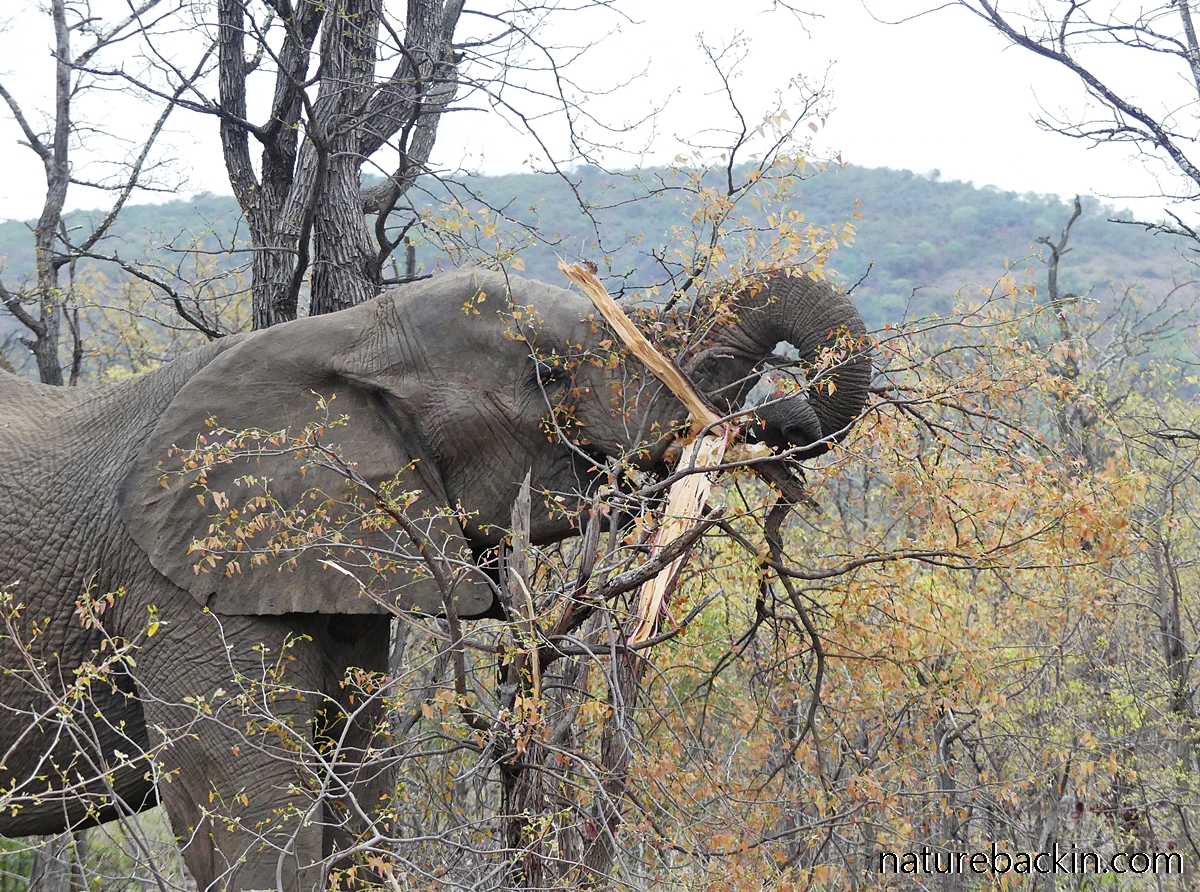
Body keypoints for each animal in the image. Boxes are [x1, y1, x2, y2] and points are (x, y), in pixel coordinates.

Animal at [0, 267, 870, 891]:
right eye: (548, 376)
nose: (780, 418)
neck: (338, 338)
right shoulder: (179, 582)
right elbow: (246, 808)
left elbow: (361, 776)